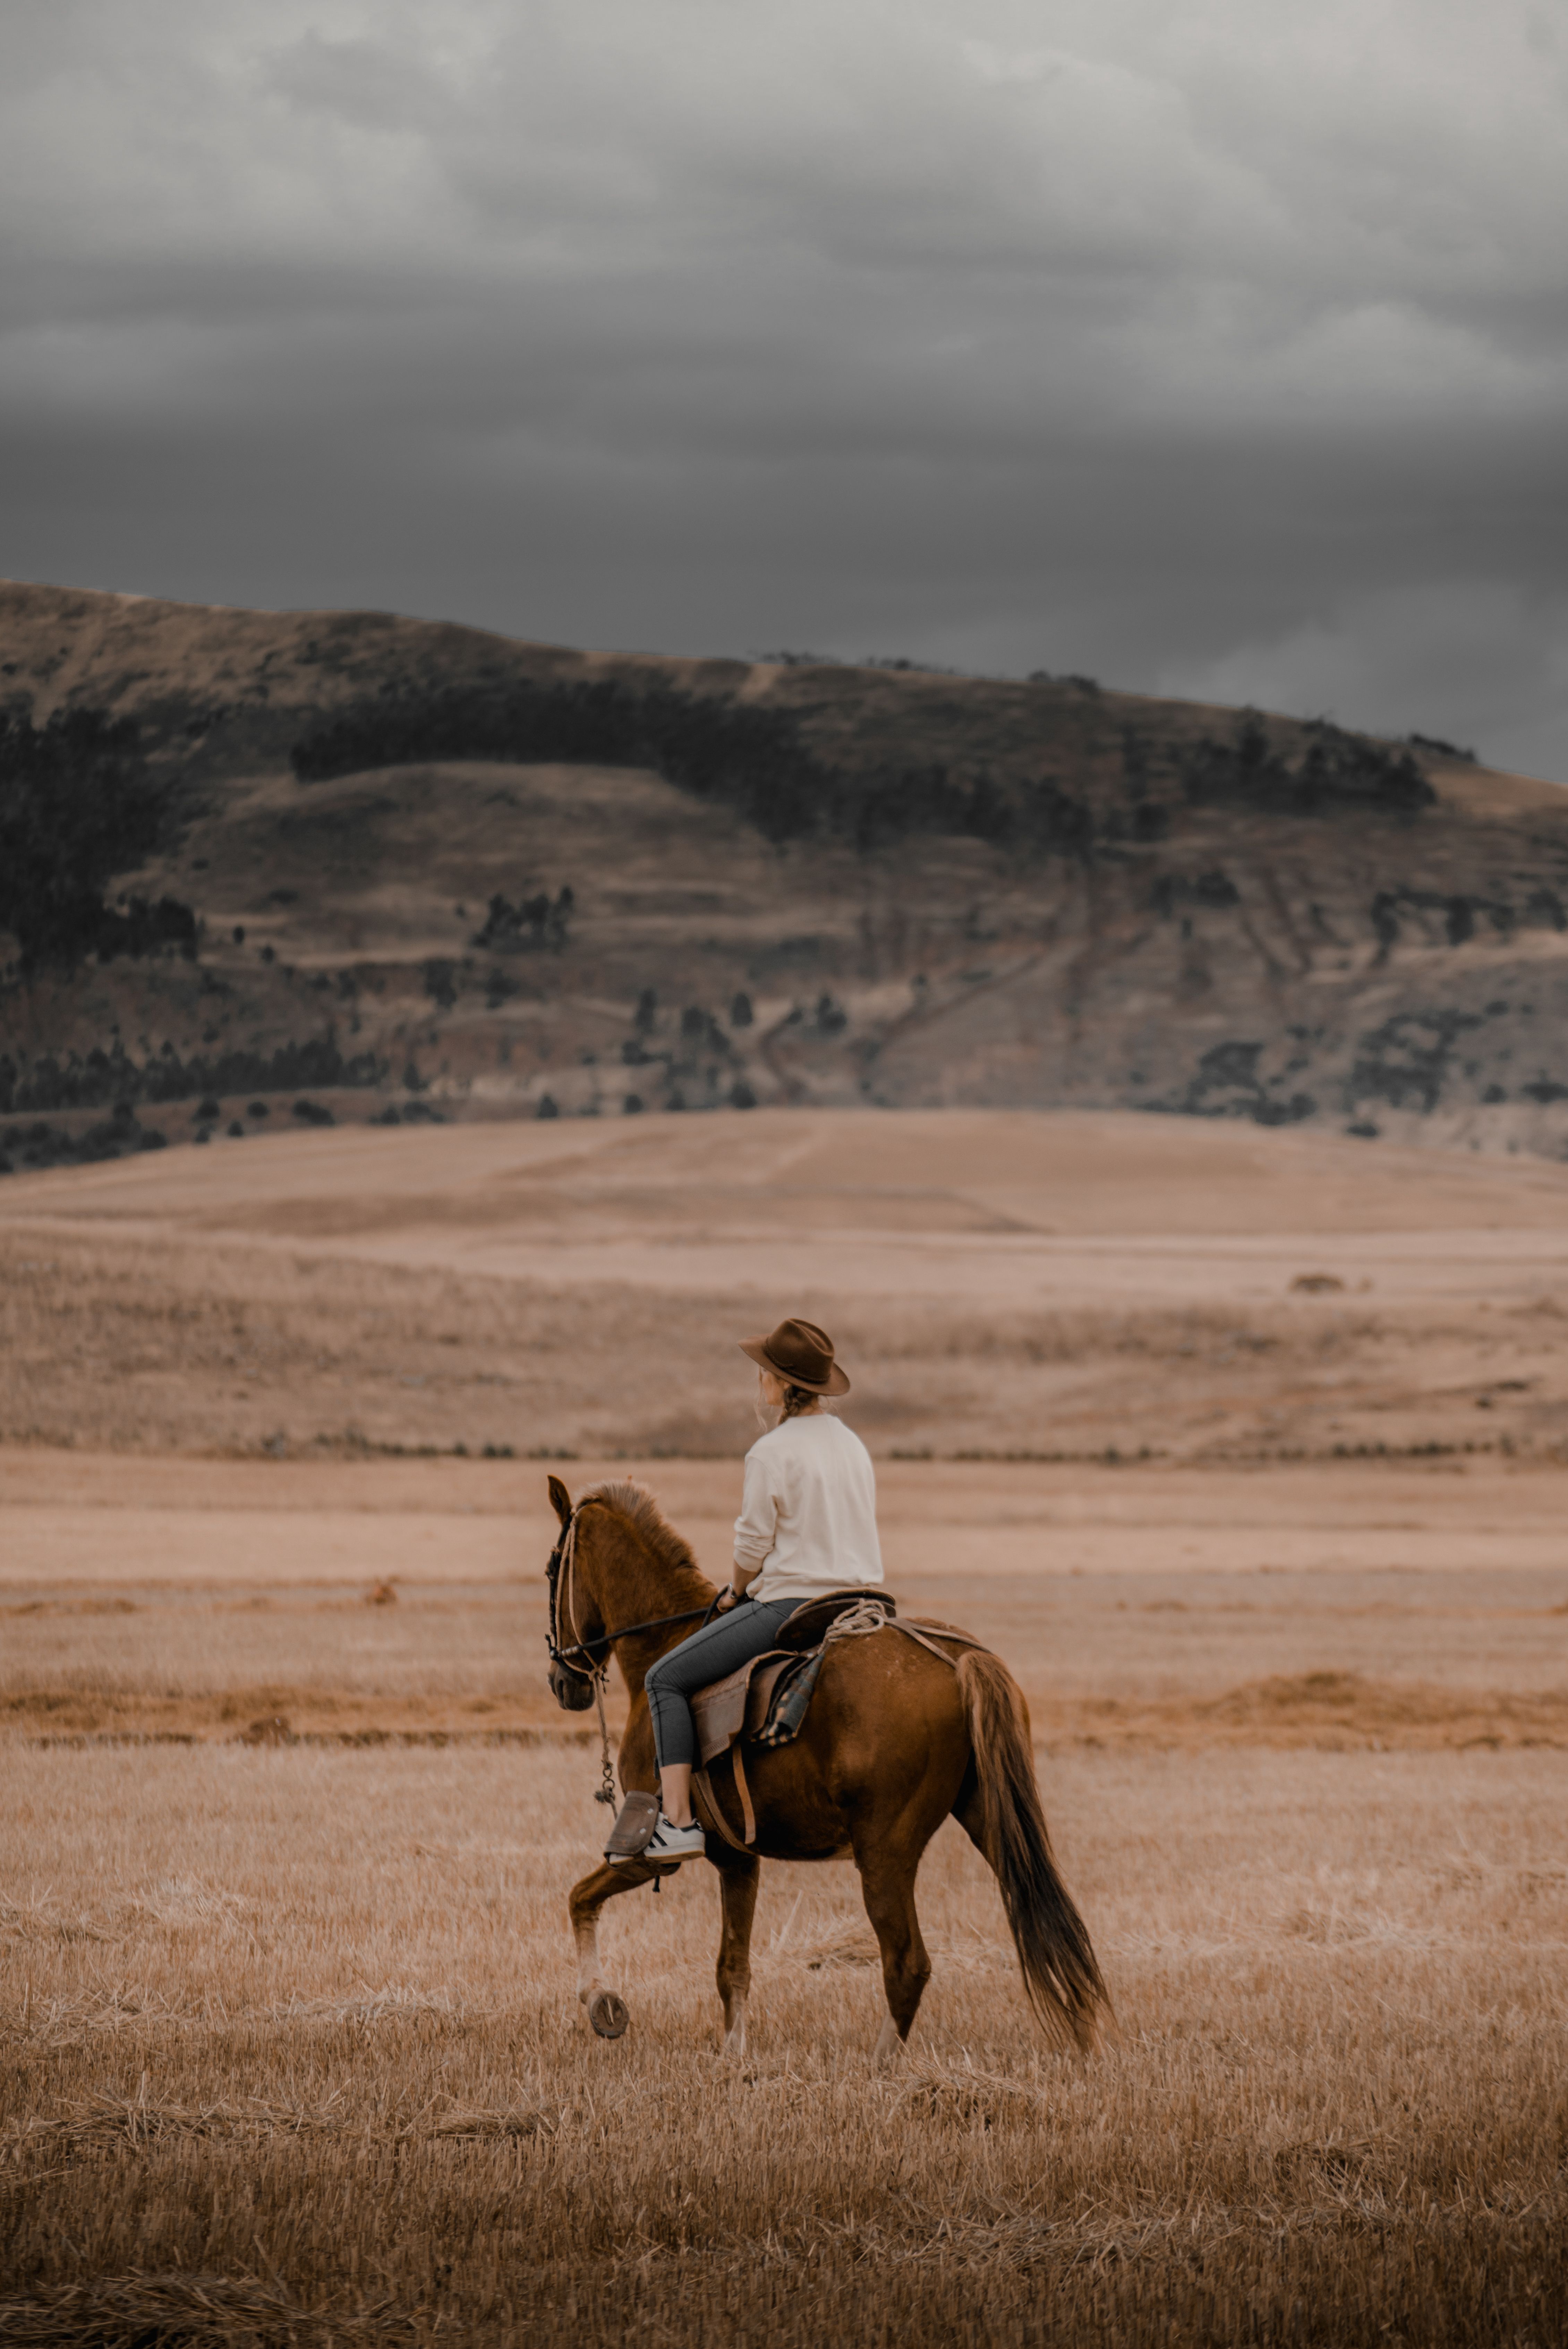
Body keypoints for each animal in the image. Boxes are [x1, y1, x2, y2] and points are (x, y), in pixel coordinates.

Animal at [543, 1473, 1110, 2062]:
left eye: (552, 1569)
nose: (564, 1682)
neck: (663, 1642)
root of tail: (957, 1659)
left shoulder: (649, 1855)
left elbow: (579, 1899)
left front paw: (600, 2001)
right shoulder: (738, 1860)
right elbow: (733, 1968)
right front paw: (733, 2056)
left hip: (884, 1853)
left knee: (907, 1963)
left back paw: (882, 2064)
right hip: (991, 1823)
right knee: (1056, 1926)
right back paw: (1084, 2034)